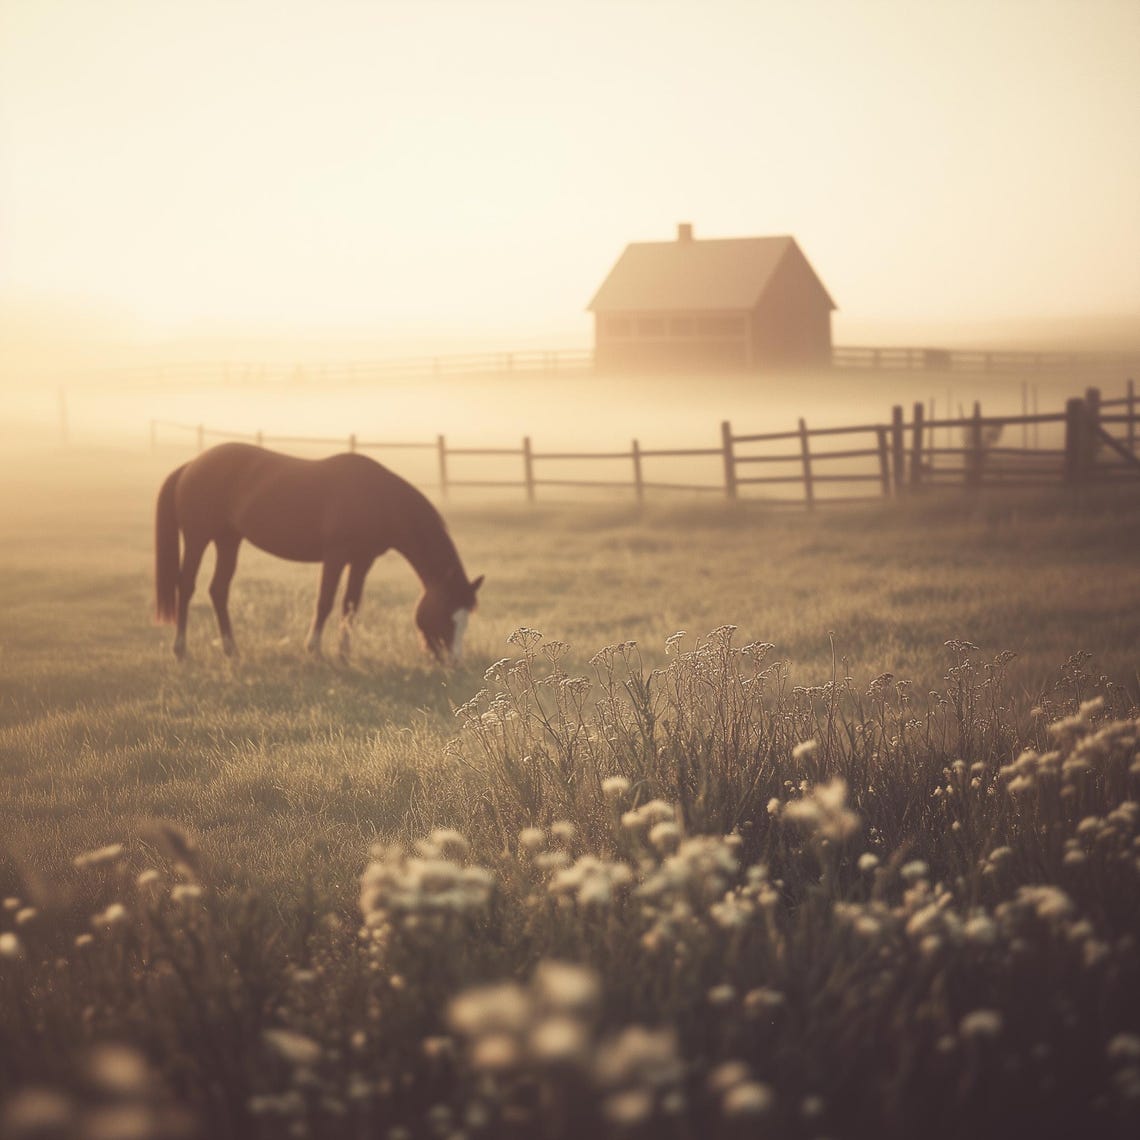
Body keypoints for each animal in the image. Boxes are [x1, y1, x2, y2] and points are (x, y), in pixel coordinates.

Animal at [155, 442, 483, 662]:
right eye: (447, 613)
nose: (453, 662)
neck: (378, 499)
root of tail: (191, 465)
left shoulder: (362, 561)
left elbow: (350, 606)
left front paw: (344, 654)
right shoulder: (336, 556)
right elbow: (324, 601)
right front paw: (313, 650)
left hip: (228, 541)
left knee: (218, 590)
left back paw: (231, 650)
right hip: (198, 539)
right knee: (186, 586)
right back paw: (180, 650)